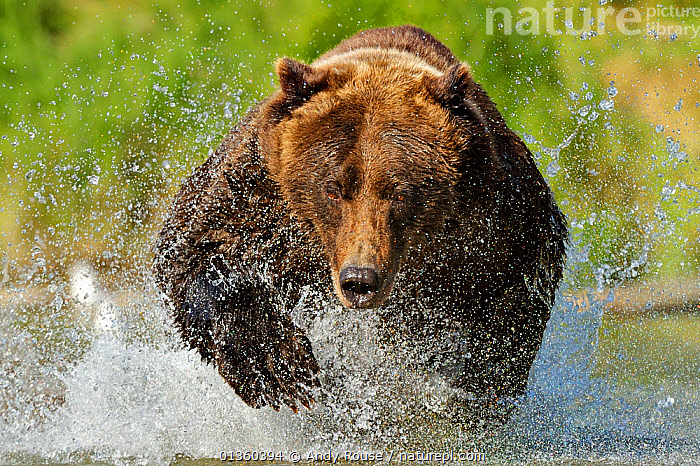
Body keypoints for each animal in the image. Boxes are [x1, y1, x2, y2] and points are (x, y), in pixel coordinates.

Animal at [153, 25, 567, 419]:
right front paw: (279, 367)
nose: (360, 279)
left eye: (399, 192)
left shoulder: (498, 223)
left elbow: (511, 308)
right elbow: (195, 252)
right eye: (333, 189)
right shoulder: (259, 194)